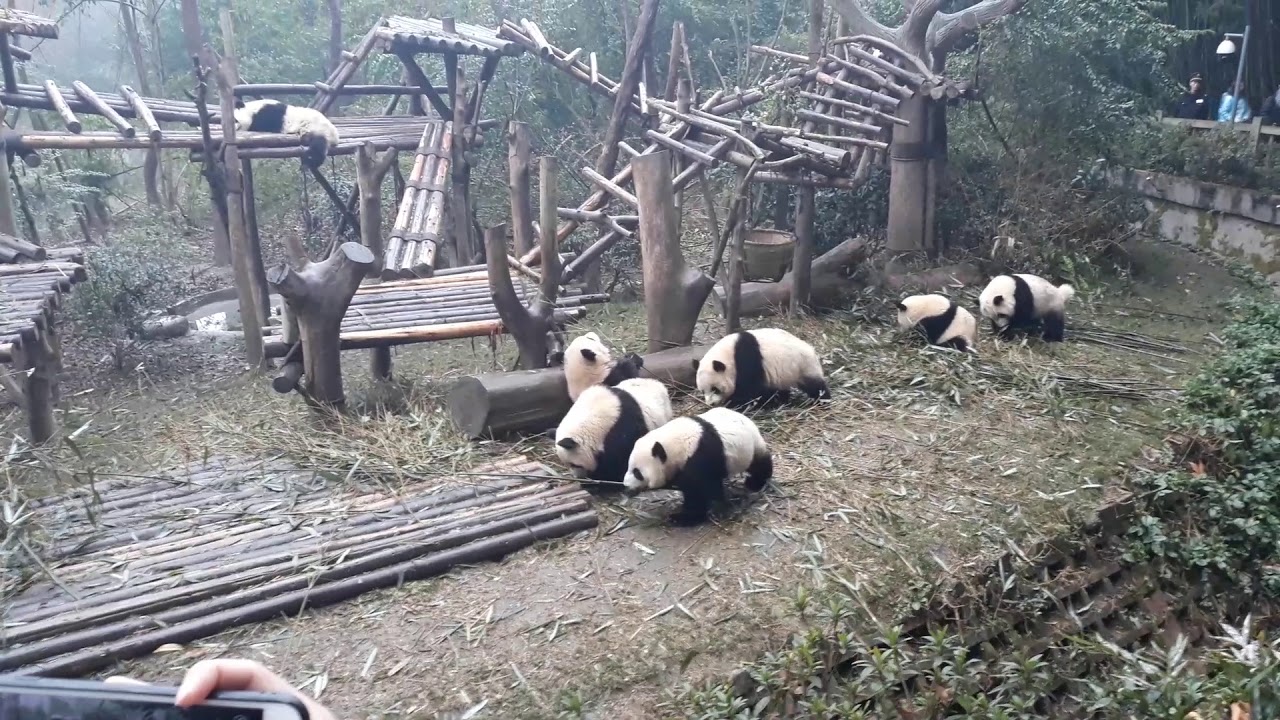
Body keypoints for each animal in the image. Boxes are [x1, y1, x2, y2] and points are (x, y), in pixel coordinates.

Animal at [623, 407, 773, 526]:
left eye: (637, 472)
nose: (626, 486)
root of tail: (750, 422)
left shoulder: (700, 457)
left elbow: (701, 489)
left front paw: (683, 517)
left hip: (748, 449)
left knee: (759, 464)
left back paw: (755, 483)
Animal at [694, 328, 829, 409]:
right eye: (702, 391)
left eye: (715, 389)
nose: (711, 403)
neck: (729, 354)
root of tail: (811, 350)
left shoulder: (746, 359)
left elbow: (749, 388)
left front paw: (735, 403)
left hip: (803, 366)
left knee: (815, 386)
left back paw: (823, 400)